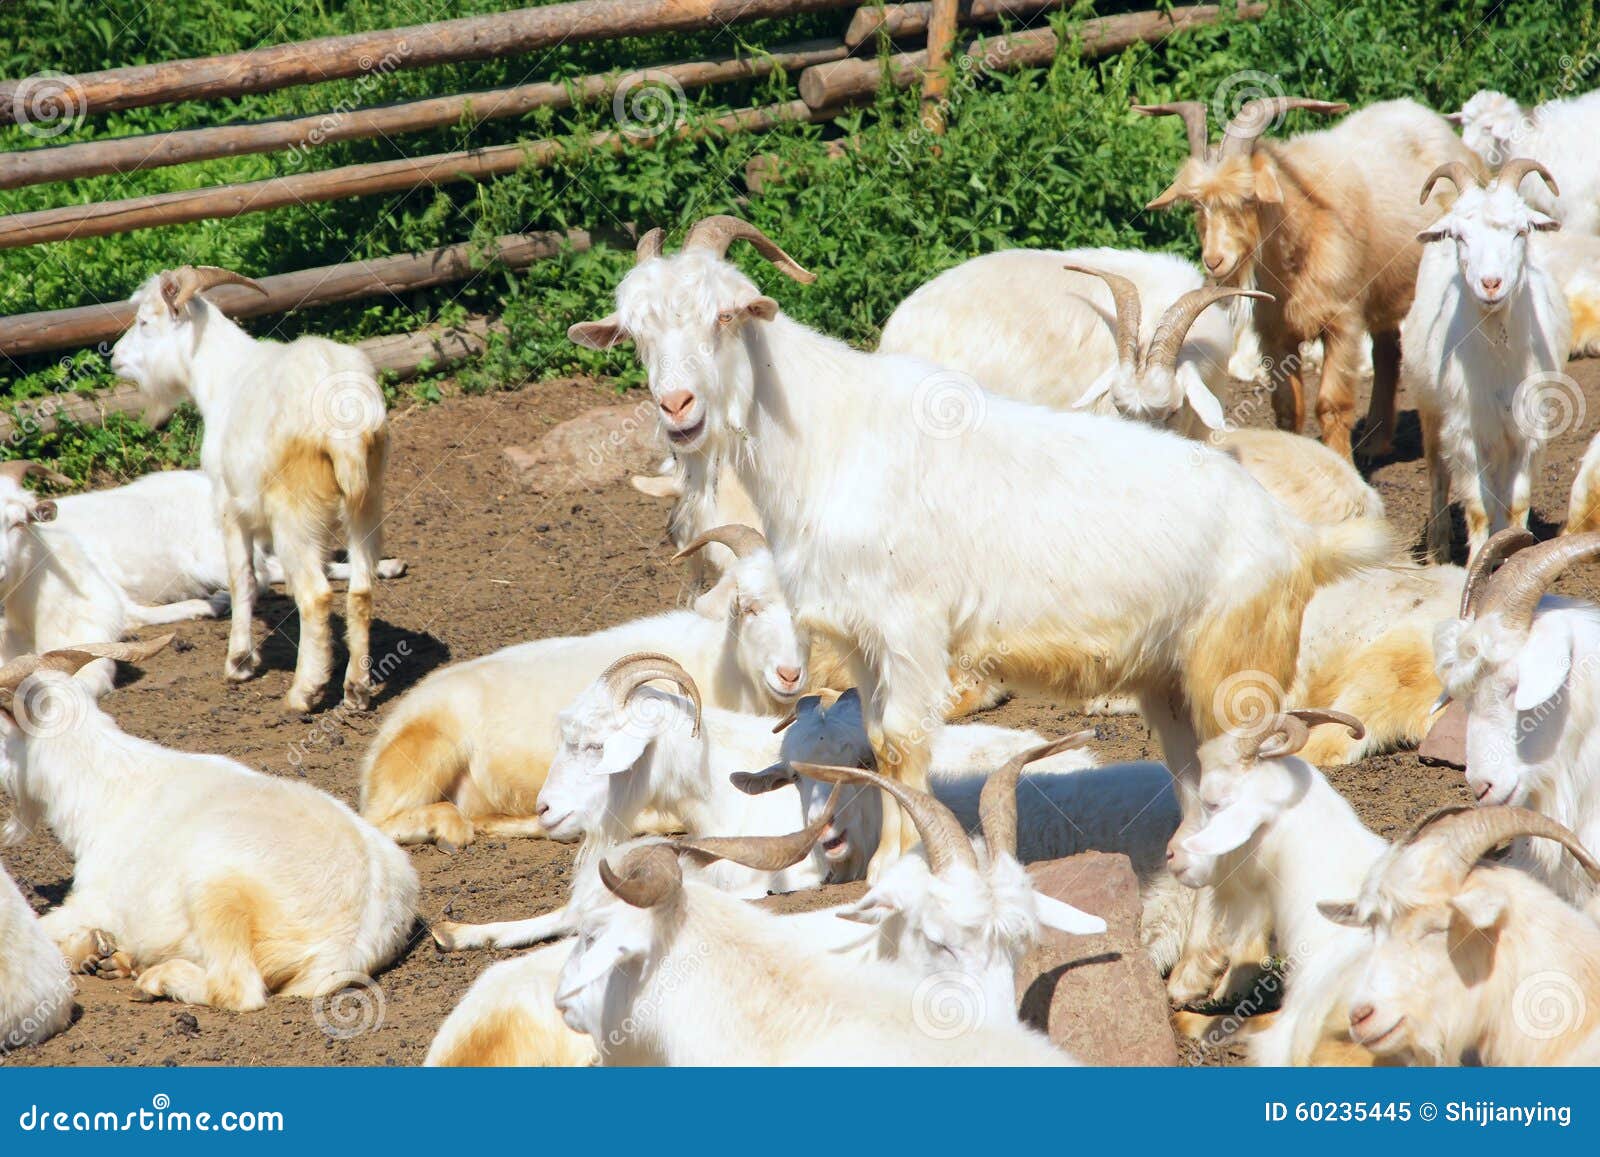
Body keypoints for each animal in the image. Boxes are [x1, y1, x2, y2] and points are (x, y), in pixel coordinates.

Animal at [0, 637, 418, 1010]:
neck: (110, 785)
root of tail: (351, 939)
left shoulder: (95, 901)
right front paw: (103, 954)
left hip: (213, 887)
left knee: (237, 990)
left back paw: (155, 980)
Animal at [109, 265, 387, 712]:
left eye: (145, 322)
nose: (114, 357)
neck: (223, 376)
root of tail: (343, 418)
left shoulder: (228, 505)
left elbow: (242, 578)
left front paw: (239, 662)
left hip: (294, 515)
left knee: (315, 595)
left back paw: (304, 693)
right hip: (367, 501)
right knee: (361, 590)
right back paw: (356, 690)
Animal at [1139, 96, 1478, 459]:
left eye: (1247, 198)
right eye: (1197, 205)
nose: (1214, 260)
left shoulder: (1343, 322)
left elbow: (1332, 404)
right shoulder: (1274, 334)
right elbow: (1288, 408)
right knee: (1387, 352)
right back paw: (1374, 443)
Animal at [1402, 160, 1573, 563]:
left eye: (1521, 230)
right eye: (1458, 236)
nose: (1491, 283)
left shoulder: (1528, 430)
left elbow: (1516, 504)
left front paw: (1508, 554)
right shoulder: (1466, 429)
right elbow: (1478, 506)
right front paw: (1476, 561)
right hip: (1432, 409)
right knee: (1437, 473)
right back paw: (1437, 550)